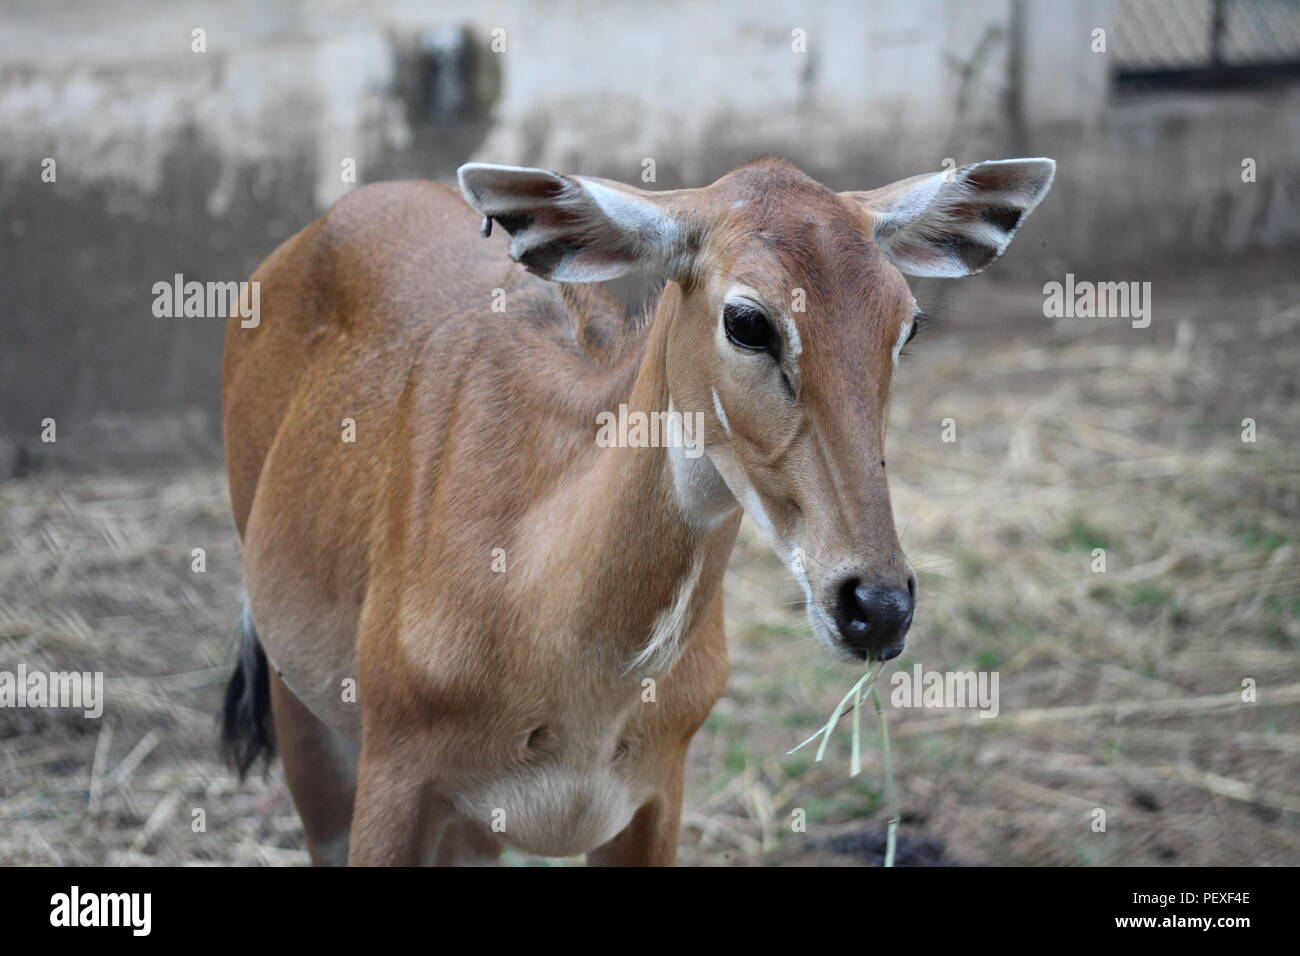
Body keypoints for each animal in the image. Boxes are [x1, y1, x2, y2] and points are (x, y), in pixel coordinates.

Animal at [220, 154, 1054, 866]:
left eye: (906, 324)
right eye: (747, 320)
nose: (875, 606)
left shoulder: (654, 792)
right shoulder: (397, 770)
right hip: (302, 706)